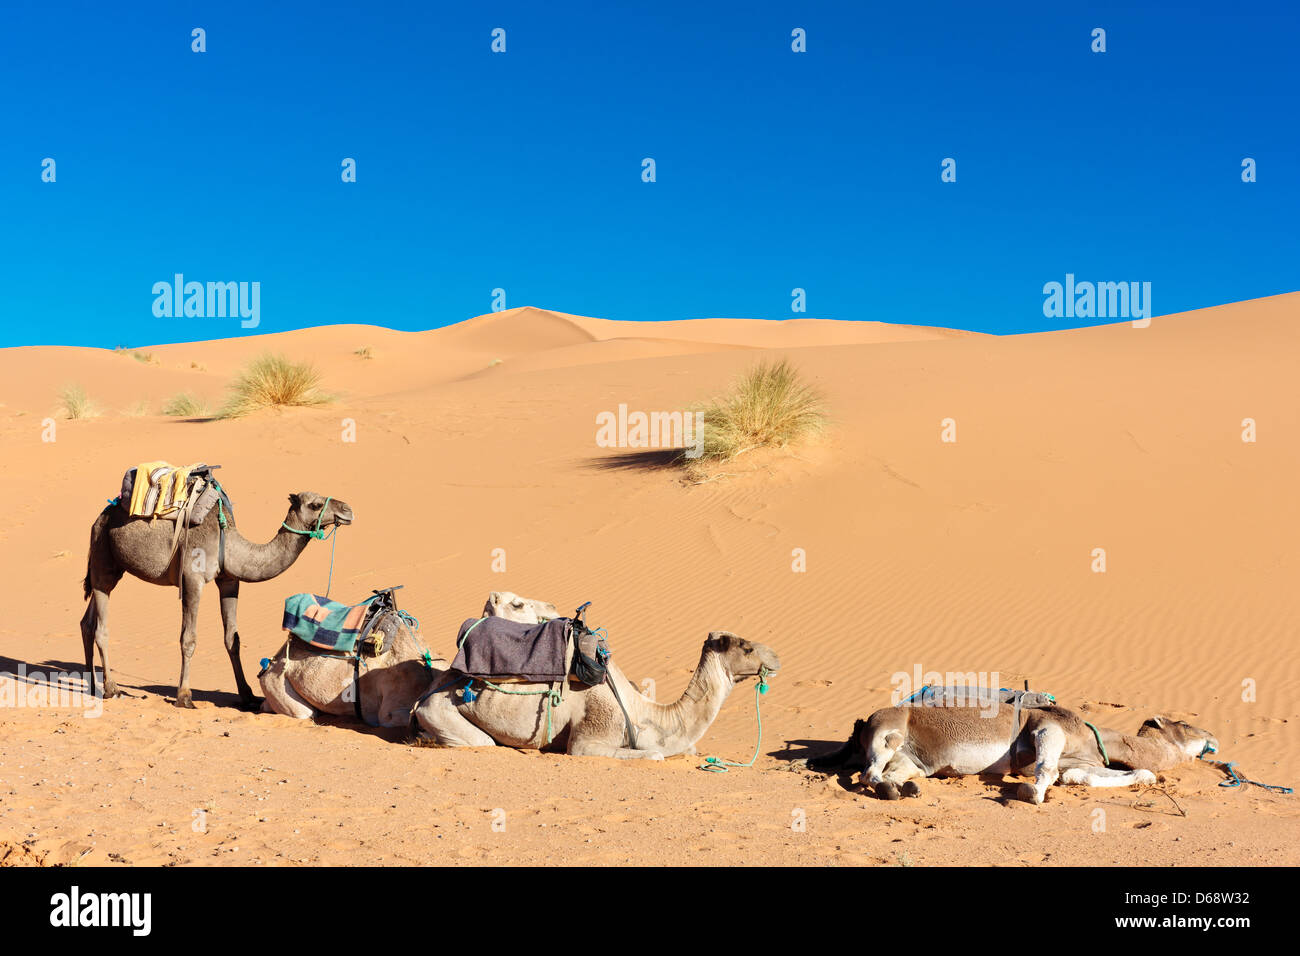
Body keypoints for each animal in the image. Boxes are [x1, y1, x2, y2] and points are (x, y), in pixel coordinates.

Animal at [81, 490, 353, 709]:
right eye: (316, 505)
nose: (348, 510)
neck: (229, 544)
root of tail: (100, 517)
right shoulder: (192, 578)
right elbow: (188, 639)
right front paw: (184, 697)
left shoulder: (230, 580)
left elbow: (233, 638)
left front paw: (248, 695)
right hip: (103, 557)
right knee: (101, 628)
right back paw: (111, 688)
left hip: (108, 567)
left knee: (87, 622)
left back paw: (92, 683)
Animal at [258, 591, 559, 726]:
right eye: (518, 604)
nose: (492, 595)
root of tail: (271, 660)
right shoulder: (390, 710)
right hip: (278, 679)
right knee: (304, 712)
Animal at [411, 630, 780, 760]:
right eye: (746, 647)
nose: (776, 657)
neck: (643, 715)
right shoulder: (589, 737)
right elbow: (654, 755)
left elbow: (686, 749)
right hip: (438, 709)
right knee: (480, 741)